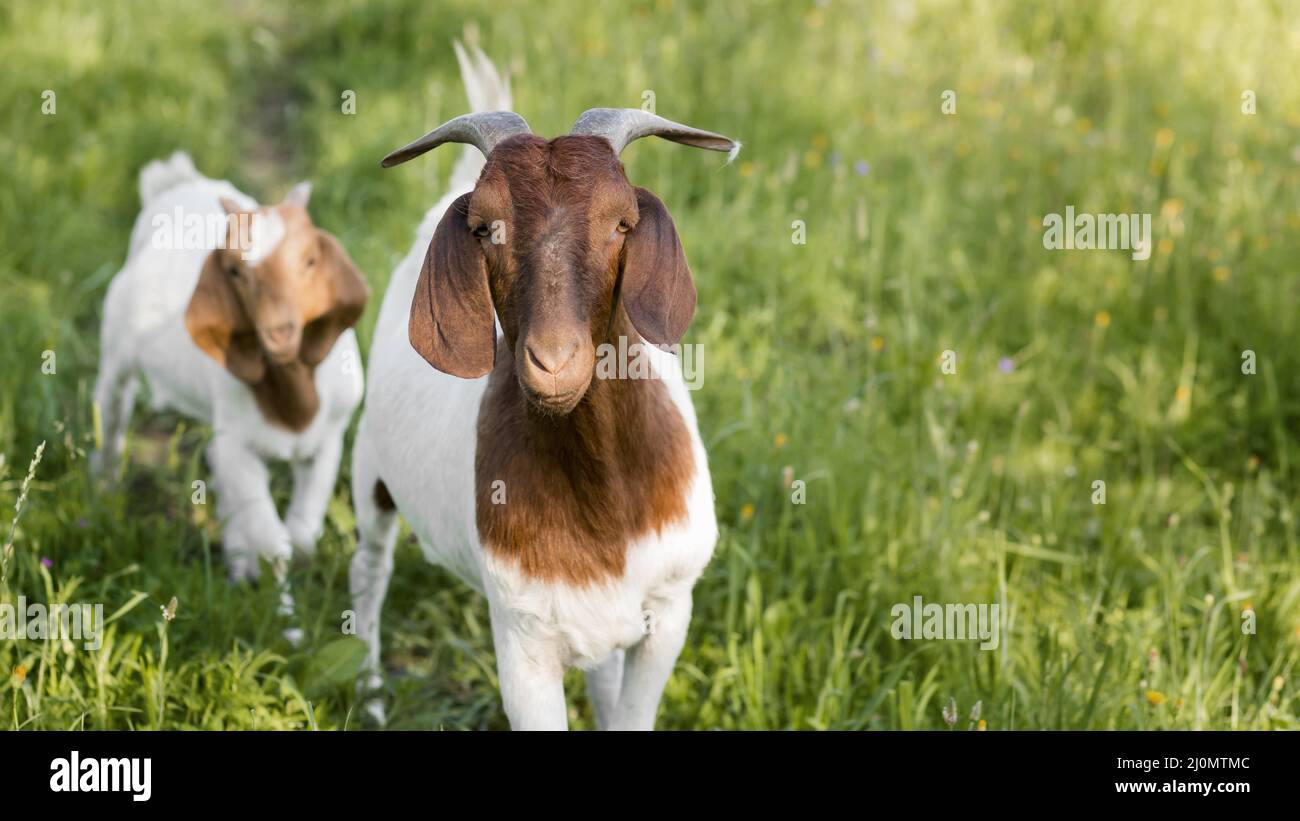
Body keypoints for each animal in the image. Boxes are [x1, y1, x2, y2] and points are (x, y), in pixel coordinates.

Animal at [92, 153, 368, 618]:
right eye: (236, 270)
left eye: (310, 260)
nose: (278, 332)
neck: (292, 404)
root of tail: (178, 183)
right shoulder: (240, 446)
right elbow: (275, 543)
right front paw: (284, 620)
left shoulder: (329, 440)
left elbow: (301, 535)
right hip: (117, 350)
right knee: (110, 410)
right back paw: (104, 490)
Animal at [351, 45, 738, 729]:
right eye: (486, 227)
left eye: (621, 223)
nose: (553, 362)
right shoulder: (522, 640)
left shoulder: (669, 609)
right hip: (371, 472)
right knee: (368, 570)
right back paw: (370, 696)